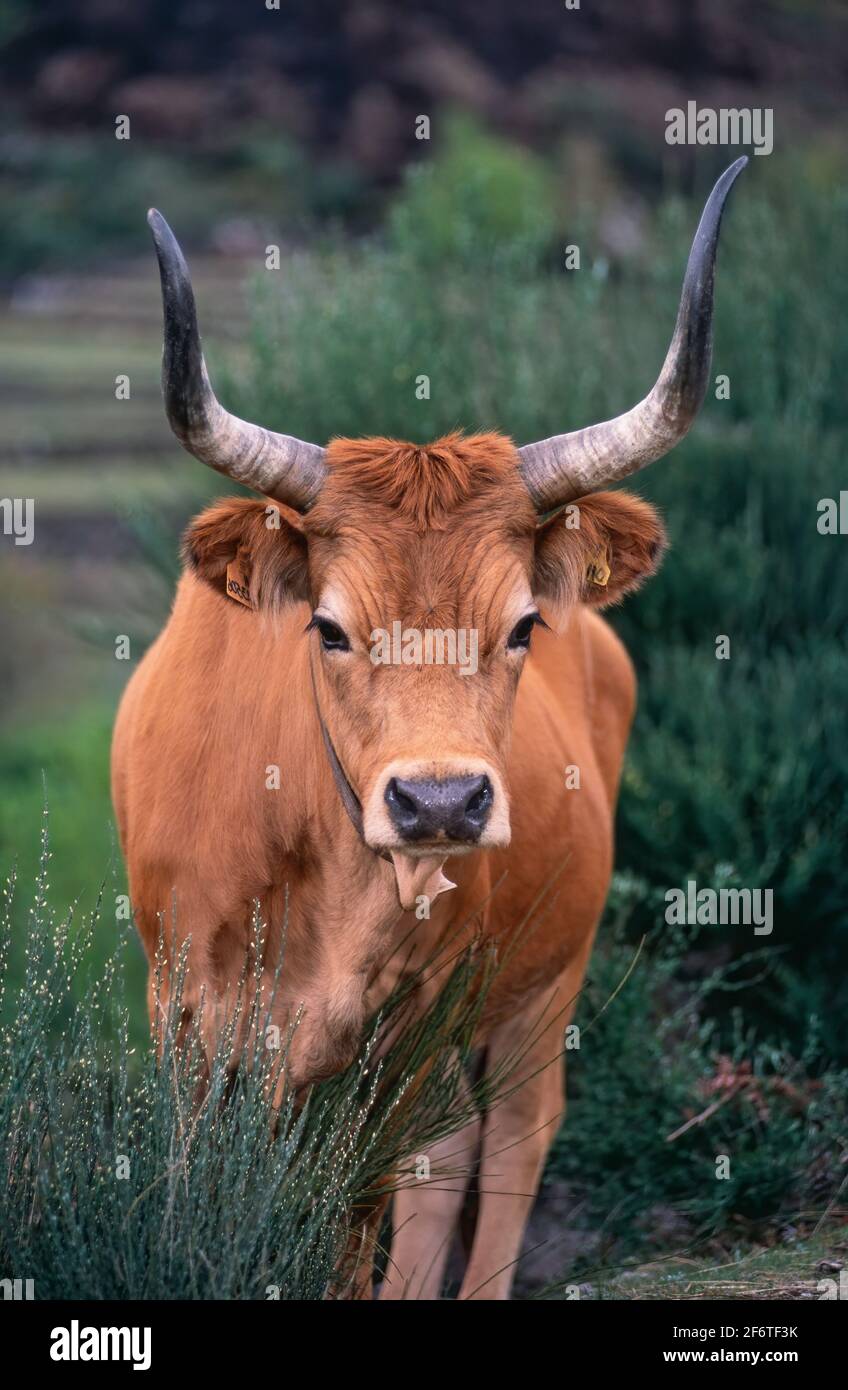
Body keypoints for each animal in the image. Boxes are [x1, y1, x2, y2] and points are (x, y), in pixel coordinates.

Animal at [112, 157, 746, 1300]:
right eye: (327, 627)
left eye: (522, 625)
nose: (439, 801)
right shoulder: (183, 1009)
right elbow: (202, 1181)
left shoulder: (407, 1024)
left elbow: (362, 1203)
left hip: (540, 984)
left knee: (503, 1145)